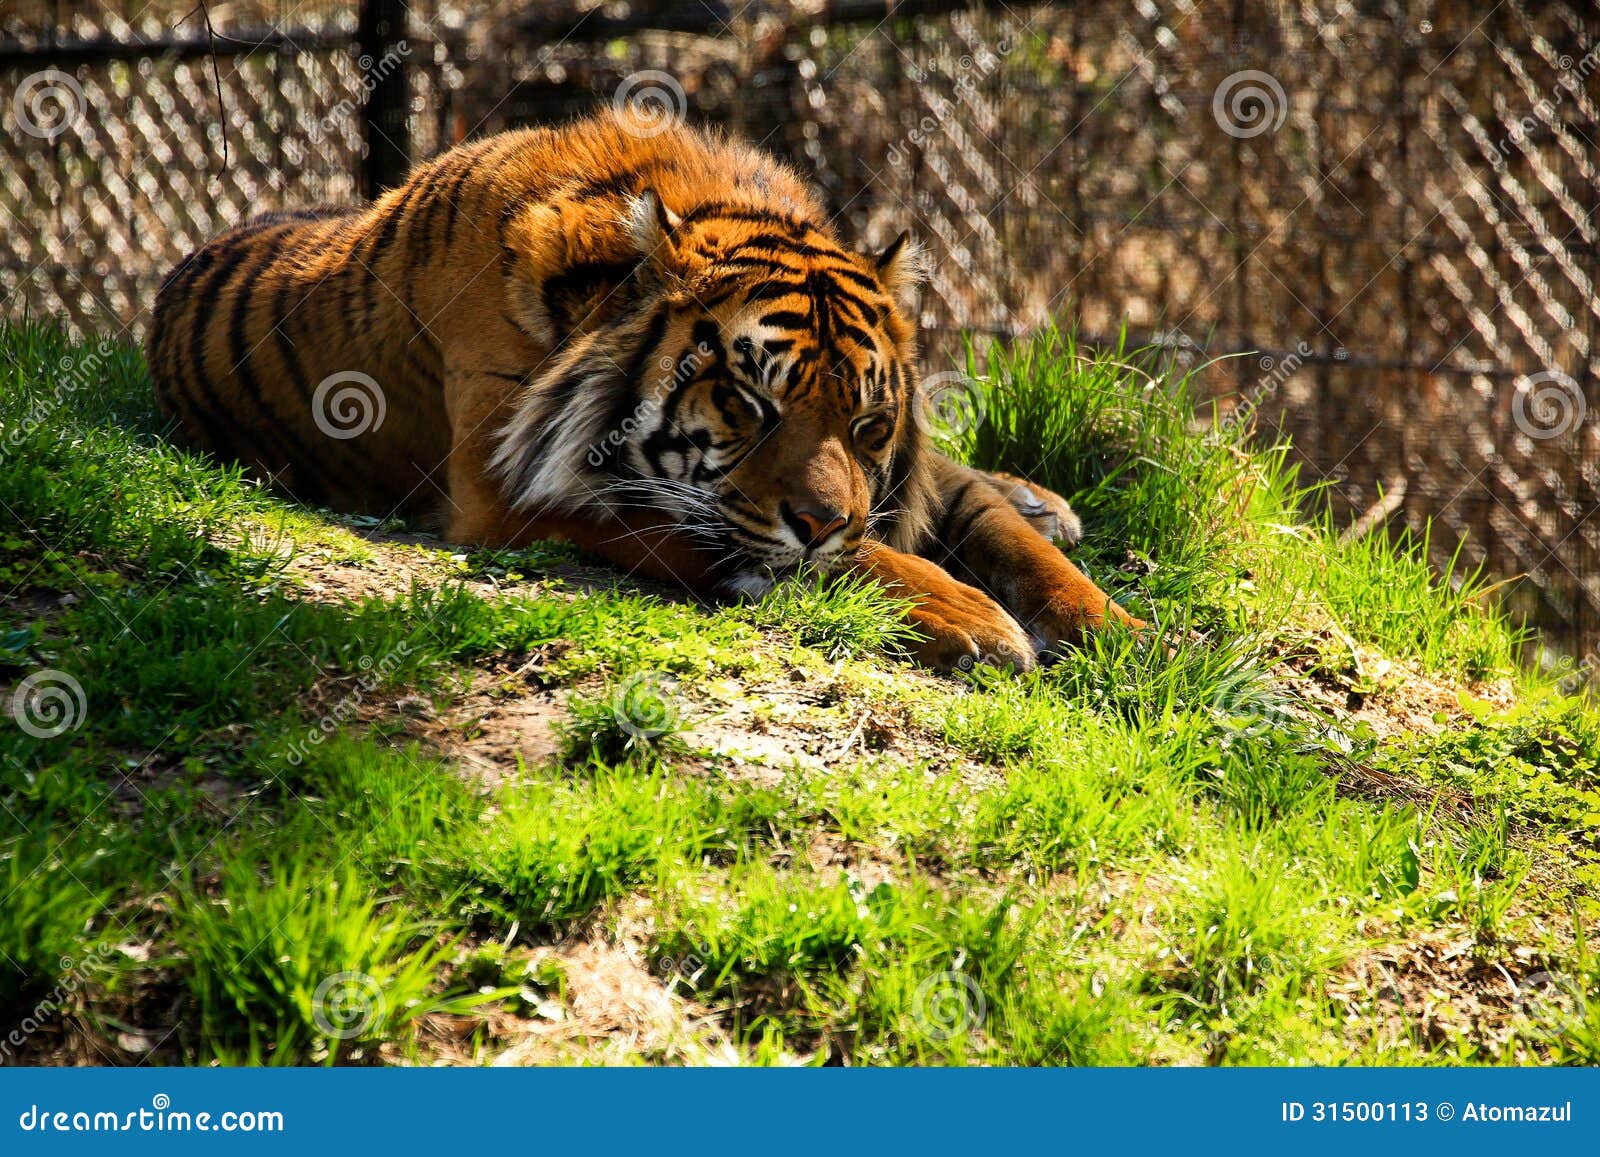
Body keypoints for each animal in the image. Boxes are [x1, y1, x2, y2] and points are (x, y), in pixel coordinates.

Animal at [148, 108, 1144, 671]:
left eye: (867, 424)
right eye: (750, 402)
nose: (821, 518)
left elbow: (1009, 540)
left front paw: (1134, 634)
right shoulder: (510, 489)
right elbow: (826, 553)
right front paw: (973, 617)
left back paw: (1049, 502)